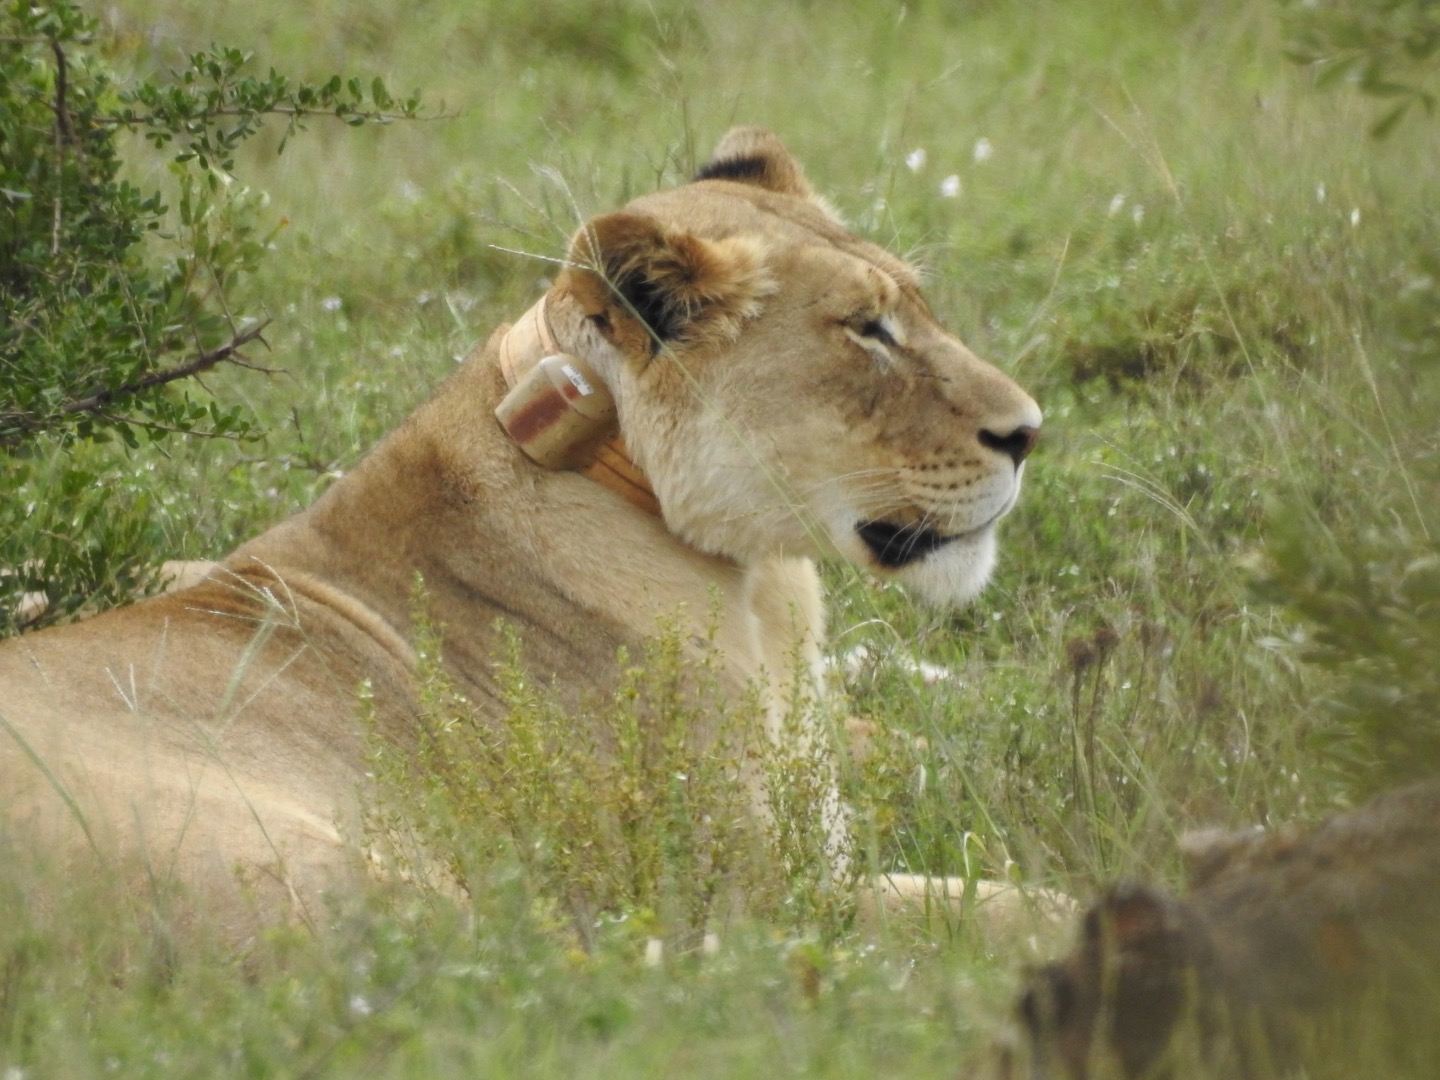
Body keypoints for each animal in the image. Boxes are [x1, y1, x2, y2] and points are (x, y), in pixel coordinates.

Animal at [0, 129, 1042, 940]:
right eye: (866, 330)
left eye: (917, 307)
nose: (1030, 432)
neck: (757, 589)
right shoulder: (753, 889)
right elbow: (982, 914)